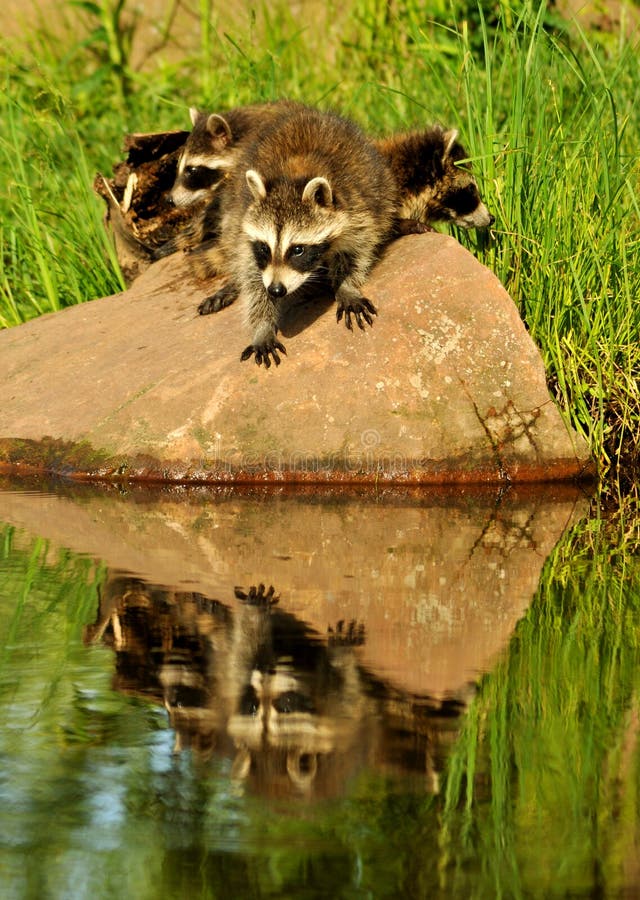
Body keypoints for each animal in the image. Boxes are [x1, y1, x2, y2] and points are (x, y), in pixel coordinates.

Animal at [198, 104, 399, 368]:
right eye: (264, 248)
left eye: (297, 249)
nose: (276, 290)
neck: (290, 180)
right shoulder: (247, 235)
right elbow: (253, 277)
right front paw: (262, 326)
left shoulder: (357, 211)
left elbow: (356, 251)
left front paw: (346, 286)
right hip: (233, 203)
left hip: (380, 181)